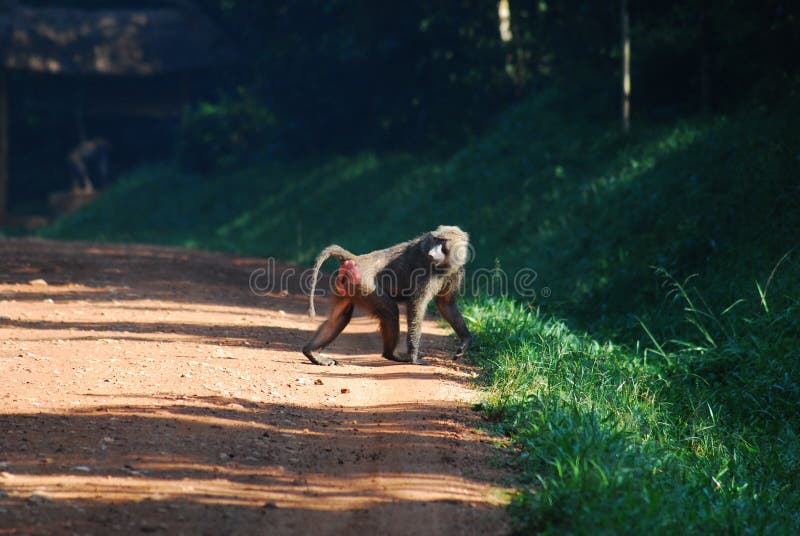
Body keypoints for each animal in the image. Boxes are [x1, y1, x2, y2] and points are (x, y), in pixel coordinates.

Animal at [302, 225, 473, 366]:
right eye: (435, 240)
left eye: (442, 241)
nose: (431, 254)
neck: (445, 266)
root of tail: (356, 259)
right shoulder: (427, 273)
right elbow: (417, 304)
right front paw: (413, 356)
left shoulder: (457, 271)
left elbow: (446, 303)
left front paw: (465, 340)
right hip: (365, 284)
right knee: (390, 312)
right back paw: (392, 355)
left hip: (347, 286)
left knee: (339, 318)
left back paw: (312, 353)